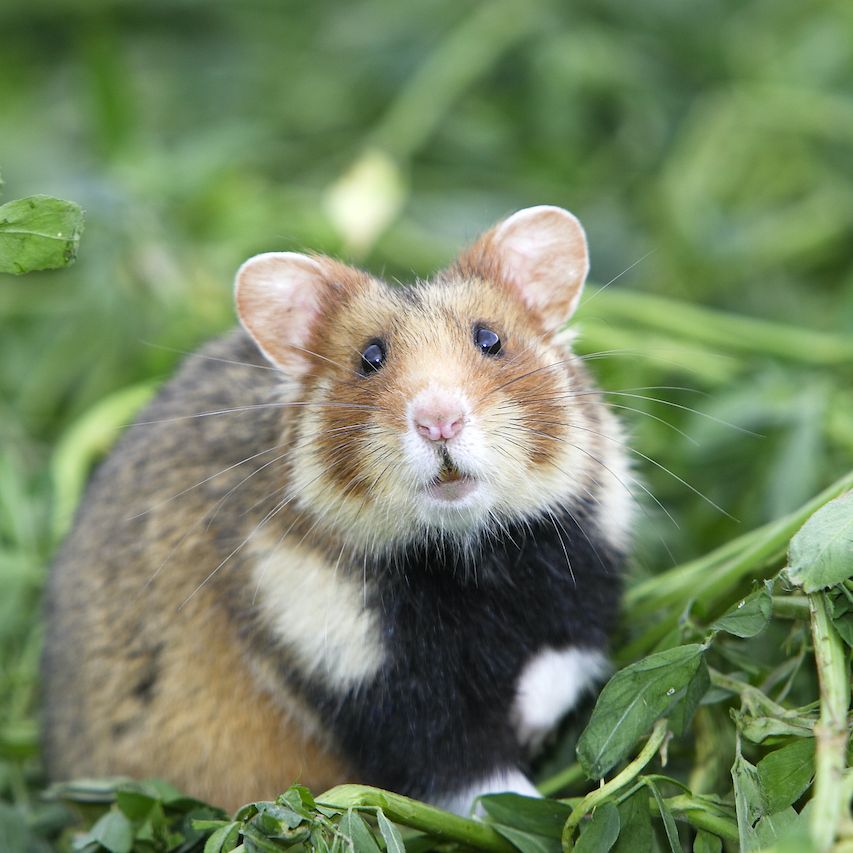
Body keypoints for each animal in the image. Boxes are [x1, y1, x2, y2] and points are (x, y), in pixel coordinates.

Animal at [41, 205, 631, 815]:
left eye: (490, 339)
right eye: (370, 358)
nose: (439, 422)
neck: (462, 550)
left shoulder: (587, 568)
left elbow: (566, 659)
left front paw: (529, 724)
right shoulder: (358, 667)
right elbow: (472, 774)